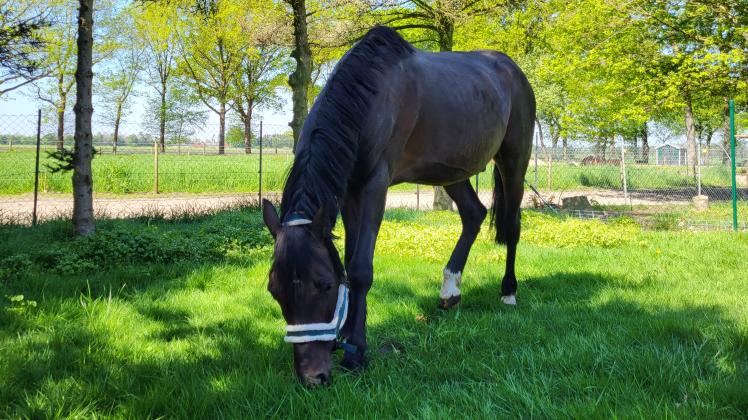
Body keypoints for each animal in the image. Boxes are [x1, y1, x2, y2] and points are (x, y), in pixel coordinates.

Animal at [261, 26, 535, 386]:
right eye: (274, 289)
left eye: (324, 285)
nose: (312, 376)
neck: (367, 98)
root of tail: (512, 69)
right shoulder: (348, 191)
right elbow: (348, 261)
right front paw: (348, 336)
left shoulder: (374, 186)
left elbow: (361, 269)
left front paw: (356, 351)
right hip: (451, 172)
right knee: (474, 214)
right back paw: (450, 290)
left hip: (513, 160)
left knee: (512, 226)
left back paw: (508, 292)